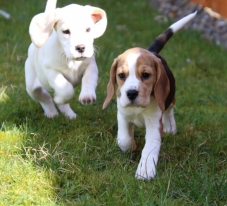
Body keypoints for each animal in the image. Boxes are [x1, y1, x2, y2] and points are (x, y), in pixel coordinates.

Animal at [103, 12, 197, 179]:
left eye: (146, 75)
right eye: (121, 75)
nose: (131, 93)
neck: (137, 109)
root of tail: (153, 52)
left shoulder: (154, 123)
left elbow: (150, 147)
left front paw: (145, 170)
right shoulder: (123, 115)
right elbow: (124, 139)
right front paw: (131, 146)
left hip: (171, 92)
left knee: (170, 107)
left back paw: (170, 125)